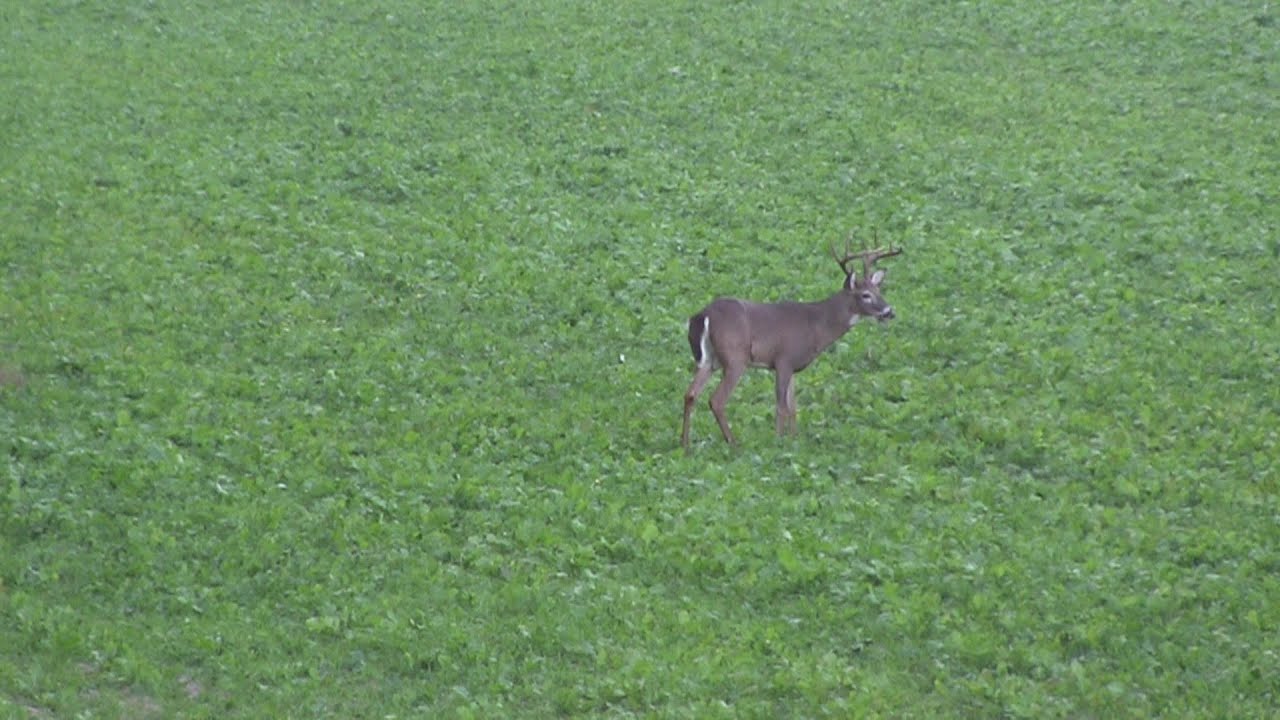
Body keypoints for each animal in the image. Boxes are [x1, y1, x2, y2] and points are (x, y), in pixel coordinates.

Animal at [680, 239, 901, 448]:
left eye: (879, 290)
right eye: (865, 295)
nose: (889, 312)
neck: (817, 325)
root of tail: (703, 315)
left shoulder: (793, 366)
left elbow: (793, 407)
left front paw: (793, 441)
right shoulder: (783, 360)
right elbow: (781, 407)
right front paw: (778, 442)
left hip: (709, 360)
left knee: (690, 394)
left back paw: (685, 444)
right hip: (735, 358)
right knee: (716, 400)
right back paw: (733, 444)